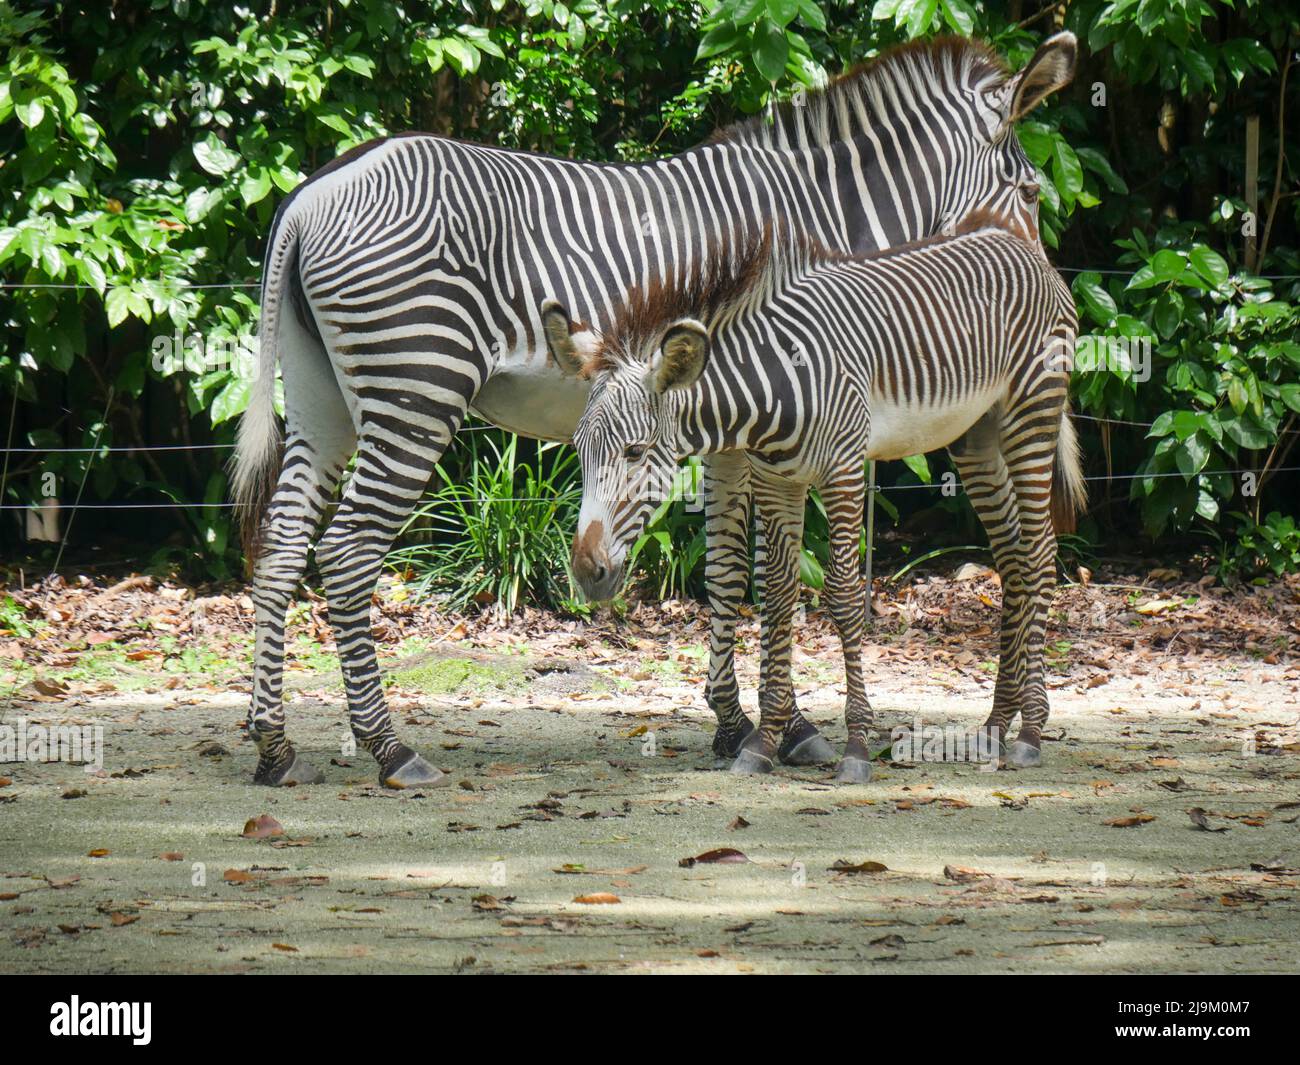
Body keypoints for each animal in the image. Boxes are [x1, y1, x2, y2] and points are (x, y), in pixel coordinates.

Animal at [541, 210, 1084, 782]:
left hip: (1031, 411)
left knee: (1040, 555)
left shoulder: (843, 471)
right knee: (1014, 557)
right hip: (977, 434)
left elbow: (843, 596)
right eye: (578, 450)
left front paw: (857, 747)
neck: (770, 388)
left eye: (635, 451)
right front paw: (766, 742)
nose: (586, 571)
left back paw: (1030, 732)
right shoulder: (777, 479)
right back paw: (997, 725)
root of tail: (1020, 244)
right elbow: (777, 595)